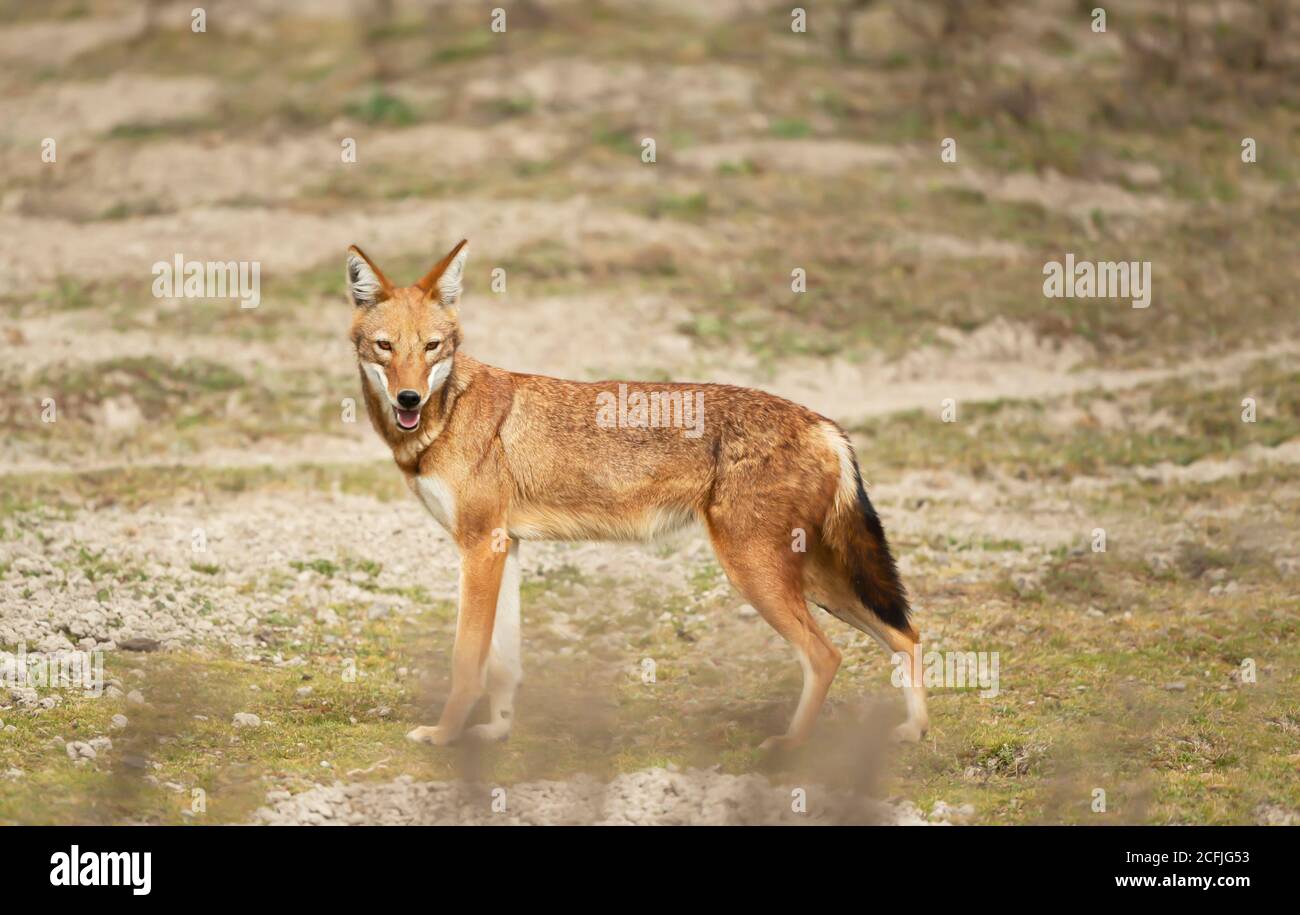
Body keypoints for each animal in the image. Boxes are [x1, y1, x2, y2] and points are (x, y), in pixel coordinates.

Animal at [347, 240, 928, 750]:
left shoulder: (478, 548)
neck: (444, 417)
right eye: (385, 346)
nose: (408, 398)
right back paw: (913, 732)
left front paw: (444, 736)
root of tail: (826, 425)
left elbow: (466, 661)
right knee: (908, 635)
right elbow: (504, 664)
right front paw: (494, 734)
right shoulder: (503, 547)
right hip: (818, 581)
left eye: (431, 347)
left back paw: (790, 747)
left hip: (761, 575)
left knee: (827, 656)